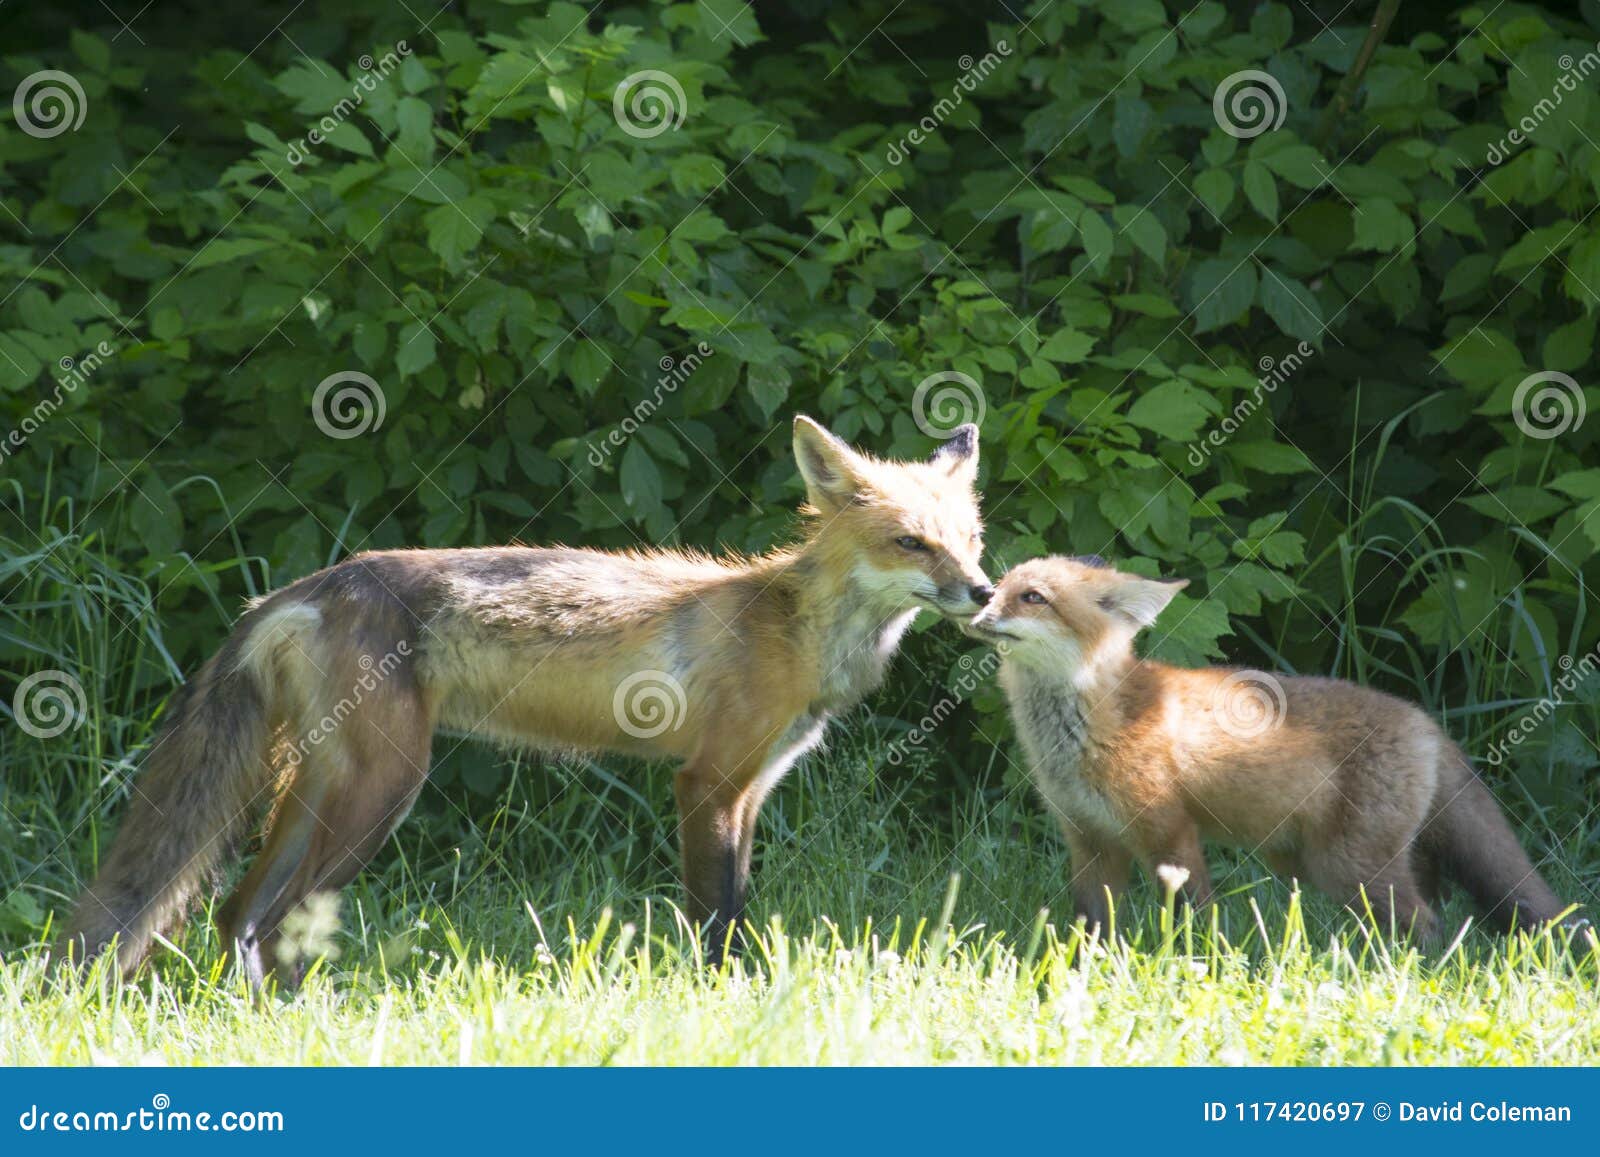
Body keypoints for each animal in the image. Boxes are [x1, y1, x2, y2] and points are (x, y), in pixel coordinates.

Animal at [59, 415, 993, 984]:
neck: (794, 630)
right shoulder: (708, 785)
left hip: (318, 788)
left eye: (971, 540)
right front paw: (718, 1000)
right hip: (382, 789)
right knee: (278, 918)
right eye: (910, 542)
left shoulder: (752, 791)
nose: (984, 591)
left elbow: (732, 910)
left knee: (236, 914)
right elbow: (713, 920)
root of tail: (303, 587)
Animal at [965, 554, 1584, 944]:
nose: (978, 610)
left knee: (1426, 924)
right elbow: (1091, 927)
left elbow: (1196, 917)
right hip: (1325, 860)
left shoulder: (1170, 833)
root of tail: (1427, 723)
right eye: (1000, 587)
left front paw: (1195, 965)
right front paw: (1086, 971)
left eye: (1034, 598)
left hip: (1347, 867)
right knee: (1435, 909)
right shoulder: (1089, 840)